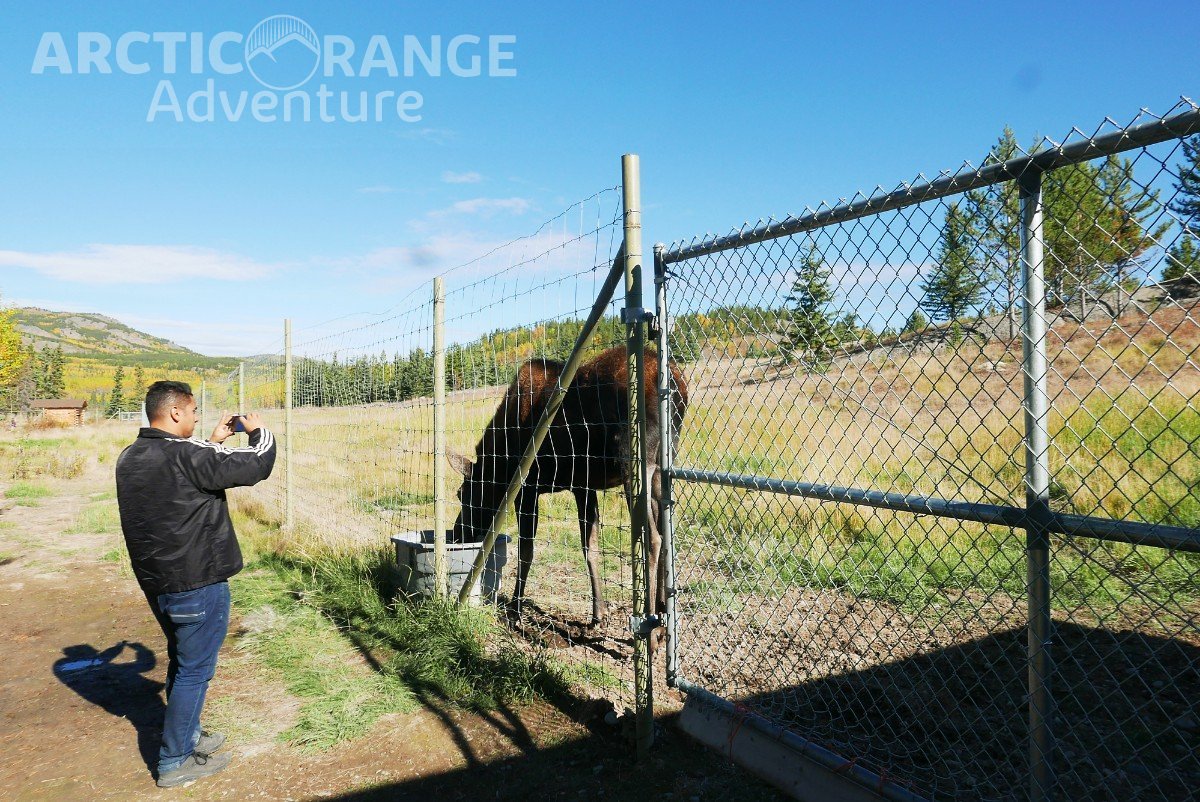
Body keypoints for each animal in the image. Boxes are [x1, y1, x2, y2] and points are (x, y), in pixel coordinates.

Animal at [447, 345, 688, 637]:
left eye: (462, 495)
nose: (456, 533)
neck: (501, 463)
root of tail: (677, 386)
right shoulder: (582, 486)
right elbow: (590, 547)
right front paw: (598, 614)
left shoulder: (527, 489)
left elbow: (526, 552)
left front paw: (515, 611)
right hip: (664, 464)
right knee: (667, 530)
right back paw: (664, 615)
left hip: (633, 462)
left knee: (653, 538)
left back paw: (650, 629)